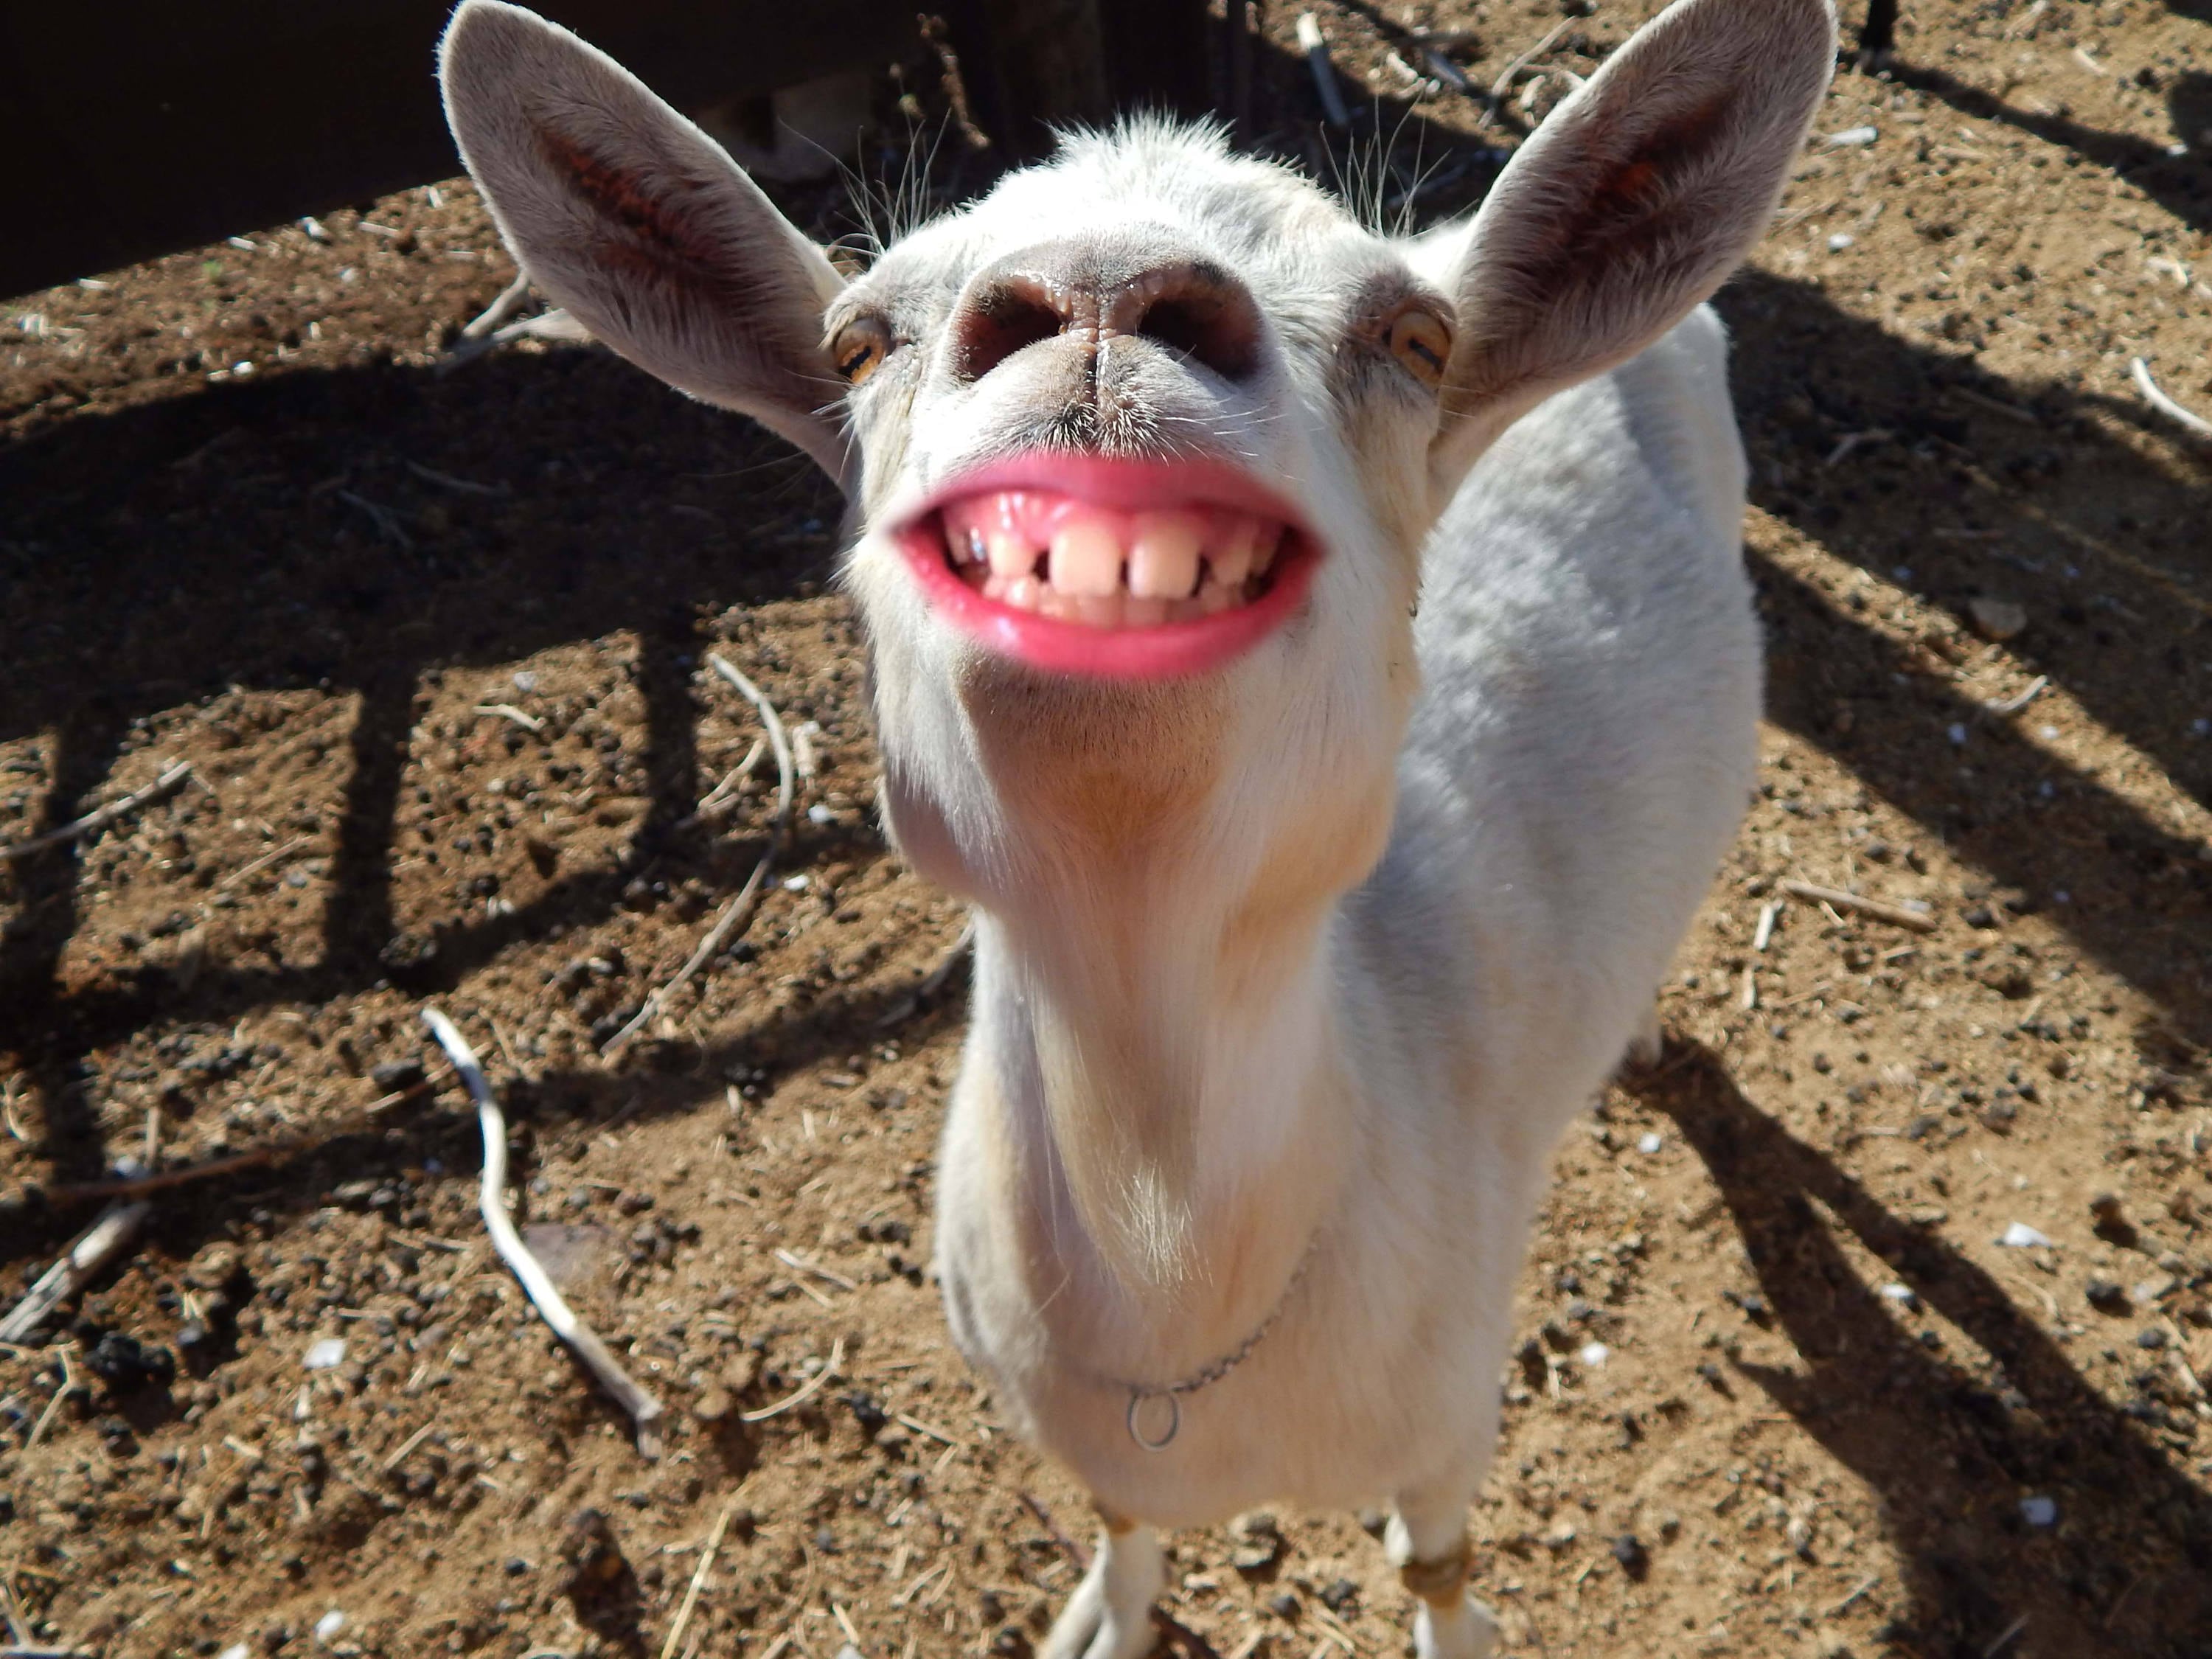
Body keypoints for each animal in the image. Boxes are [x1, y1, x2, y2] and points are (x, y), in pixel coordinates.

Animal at [438, 1, 1836, 1652]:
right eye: (857, 340)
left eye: (1414, 340)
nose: (1103, 300)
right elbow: (1121, 1521)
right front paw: (1102, 1616)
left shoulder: (1452, 1411)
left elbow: (1436, 1562)